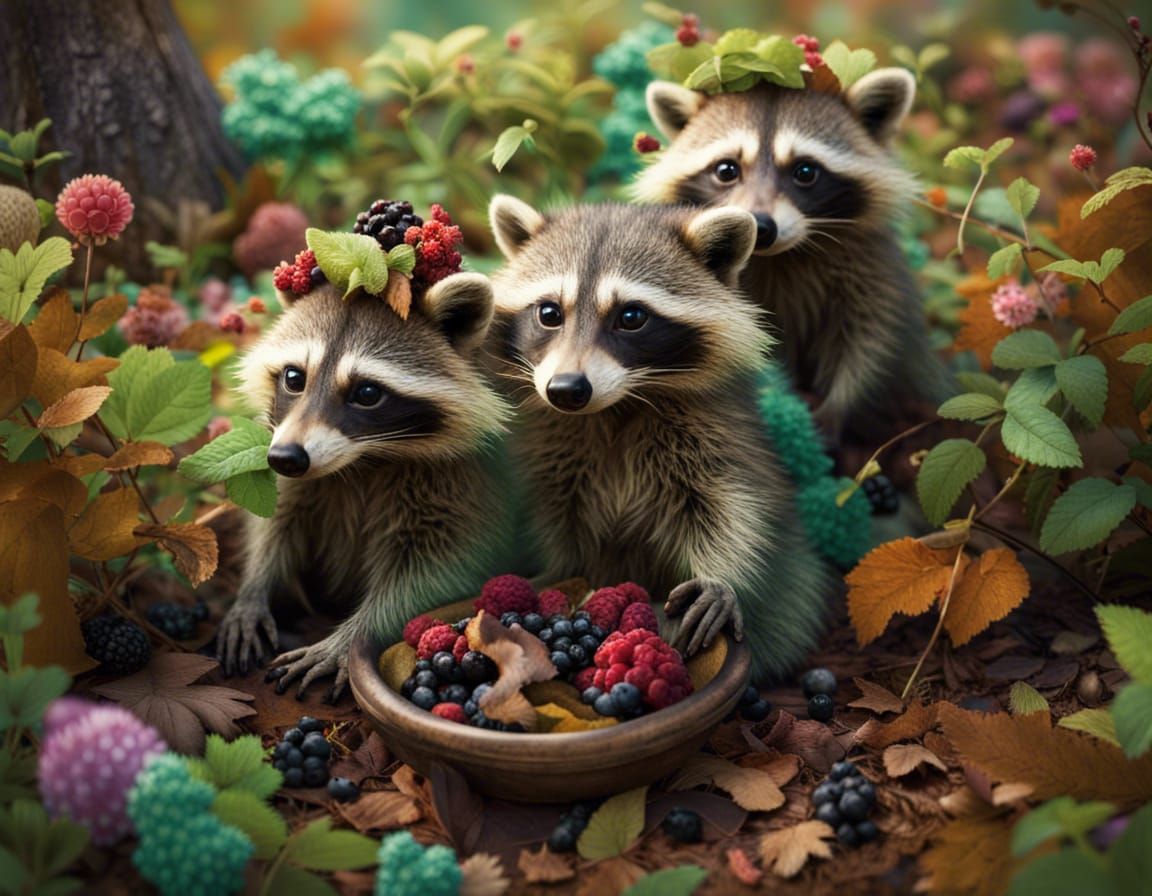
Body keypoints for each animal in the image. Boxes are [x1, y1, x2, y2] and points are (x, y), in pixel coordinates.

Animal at [217, 273, 513, 699]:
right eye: (294, 378)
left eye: (367, 393)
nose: (287, 458)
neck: (360, 462)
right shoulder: (289, 459)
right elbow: (276, 523)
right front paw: (256, 586)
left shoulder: (463, 481)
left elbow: (438, 570)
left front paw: (353, 636)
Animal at [487, 197, 832, 682]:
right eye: (549, 313)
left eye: (631, 316)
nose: (566, 389)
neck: (616, 407)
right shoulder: (555, 449)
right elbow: (557, 522)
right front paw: (556, 574)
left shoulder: (711, 432)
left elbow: (731, 504)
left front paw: (720, 577)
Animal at [634, 70, 952, 443]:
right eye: (727, 170)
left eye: (805, 171)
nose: (761, 226)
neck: (777, 257)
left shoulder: (871, 270)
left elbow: (871, 343)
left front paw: (840, 405)